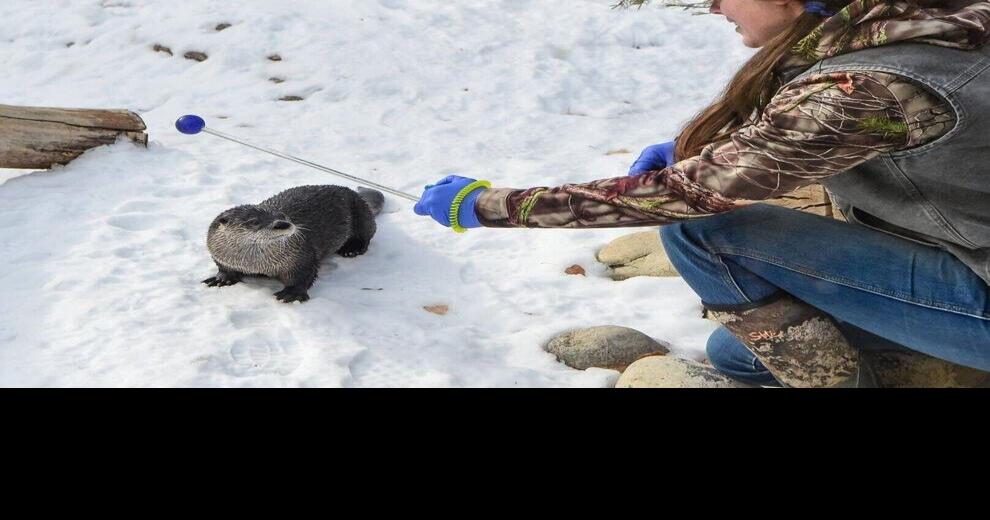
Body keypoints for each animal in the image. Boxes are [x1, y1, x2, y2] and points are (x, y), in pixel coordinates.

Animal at [203, 185, 385, 303]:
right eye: (253, 221)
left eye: (283, 215)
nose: (283, 224)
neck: (253, 263)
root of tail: (357, 194)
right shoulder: (220, 255)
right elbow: (224, 268)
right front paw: (222, 279)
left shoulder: (302, 256)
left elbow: (304, 275)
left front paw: (292, 294)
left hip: (361, 213)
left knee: (366, 233)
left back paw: (352, 249)